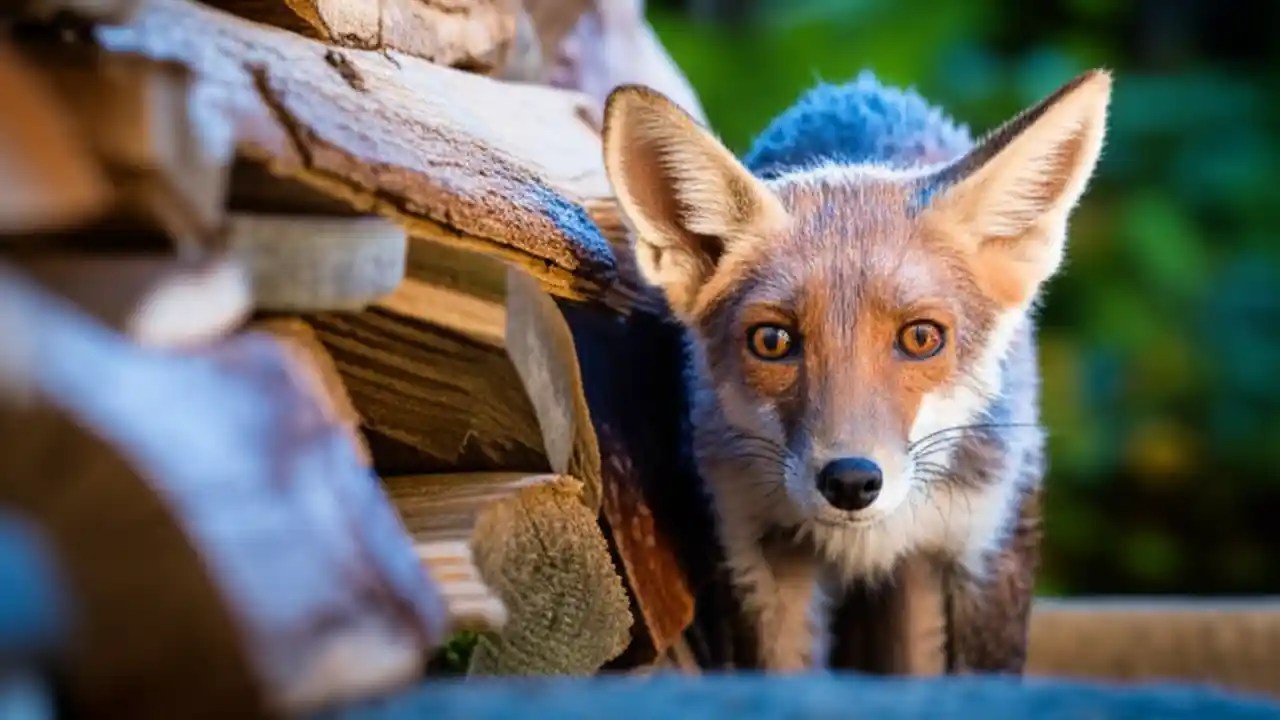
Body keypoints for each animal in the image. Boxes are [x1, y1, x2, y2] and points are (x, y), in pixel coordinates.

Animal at [599, 69, 1111, 672]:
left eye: (921, 337)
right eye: (772, 341)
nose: (850, 481)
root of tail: (858, 88)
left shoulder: (985, 546)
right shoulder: (755, 552)